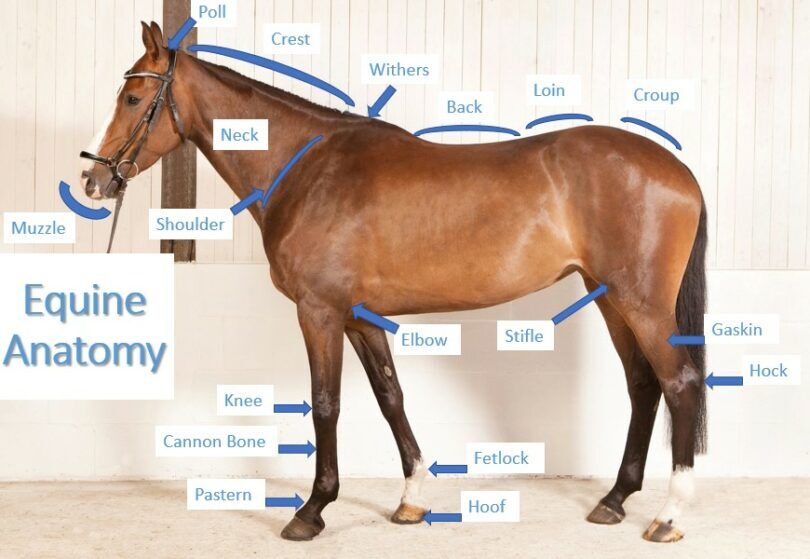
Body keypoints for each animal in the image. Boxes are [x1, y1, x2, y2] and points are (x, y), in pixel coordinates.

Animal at [80, 22, 707, 543]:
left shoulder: (319, 312)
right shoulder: (360, 318)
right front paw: (411, 499)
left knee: (679, 384)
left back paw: (668, 516)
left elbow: (325, 404)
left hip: (640, 303)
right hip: (609, 300)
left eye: (133, 99)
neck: (307, 169)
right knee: (643, 386)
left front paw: (312, 511)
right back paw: (615, 499)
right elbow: (390, 397)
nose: (93, 179)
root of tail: (679, 172)